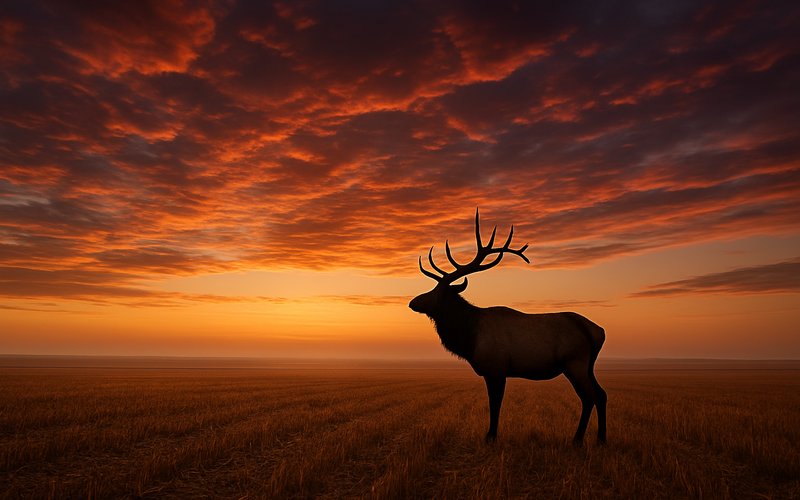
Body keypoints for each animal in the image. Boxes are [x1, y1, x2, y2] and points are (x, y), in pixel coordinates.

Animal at [408, 209, 607, 446]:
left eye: (437, 292)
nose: (413, 302)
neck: (469, 337)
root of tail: (598, 332)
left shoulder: (496, 367)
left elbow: (495, 403)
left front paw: (491, 436)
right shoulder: (493, 370)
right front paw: (491, 435)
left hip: (575, 362)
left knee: (589, 397)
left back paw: (577, 439)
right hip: (588, 366)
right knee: (601, 394)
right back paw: (601, 439)